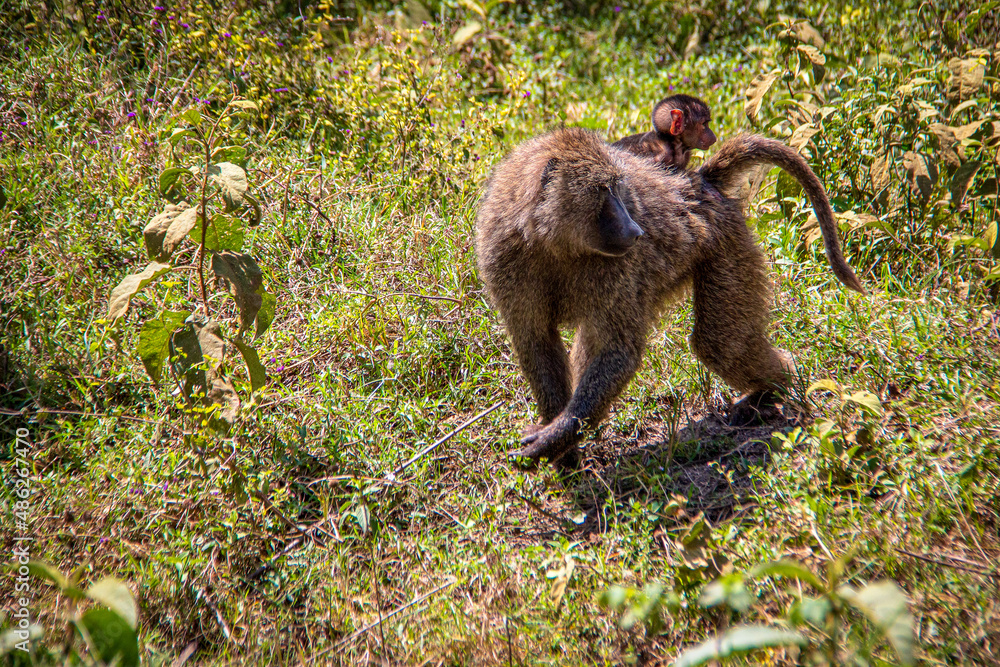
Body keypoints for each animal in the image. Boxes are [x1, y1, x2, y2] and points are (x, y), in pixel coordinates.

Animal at [475, 128, 864, 468]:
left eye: (620, 188)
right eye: (604, 191)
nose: (636, 232)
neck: (552, 241)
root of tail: (697, 183)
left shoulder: (619, 267)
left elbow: (618, 350)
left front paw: (555, 439)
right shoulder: (503, 256)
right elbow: (537, 341)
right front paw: (563, 450)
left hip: (726, 244)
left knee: (719, 344)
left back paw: (778, 386)